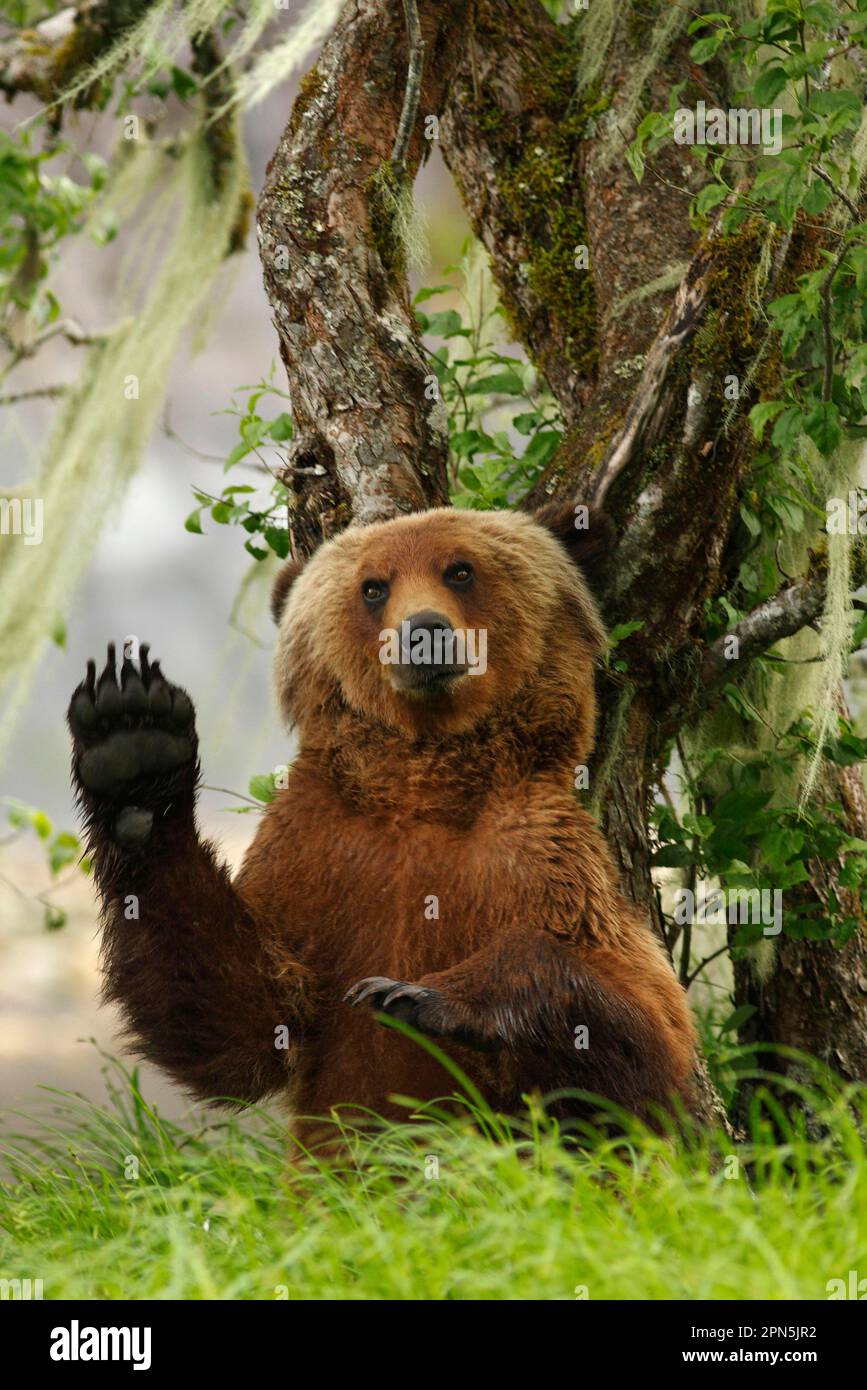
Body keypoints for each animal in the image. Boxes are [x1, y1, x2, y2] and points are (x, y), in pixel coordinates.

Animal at [67, 504, 696, 1141]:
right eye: (373, 586)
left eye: (460, 570)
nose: (425, 632)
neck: (423, 790)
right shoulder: (316, 848)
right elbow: (248, 1019)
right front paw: (134, 746)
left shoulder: (540, 854)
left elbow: (647, 1039)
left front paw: (419, 995)